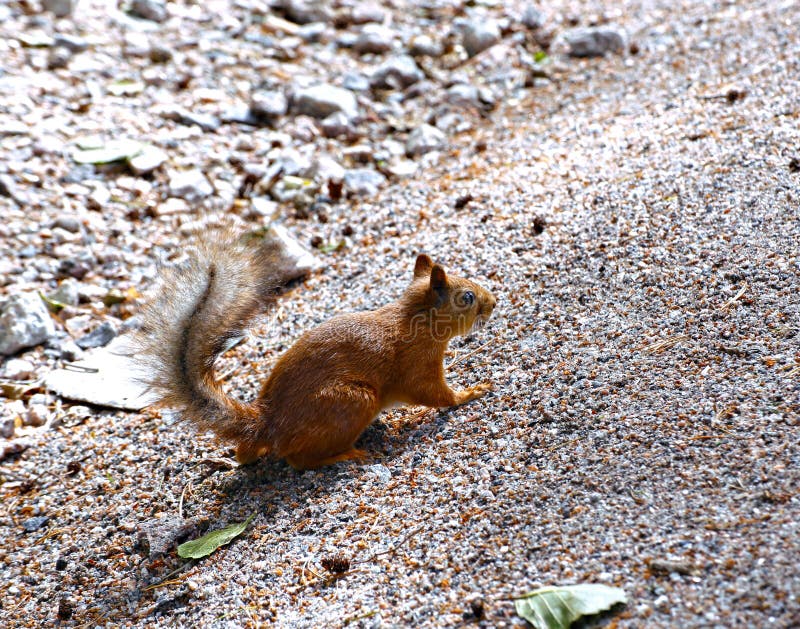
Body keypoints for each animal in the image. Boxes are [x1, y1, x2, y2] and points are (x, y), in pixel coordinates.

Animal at [136, 232, 496, 470]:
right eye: (466, 297)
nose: (493, 303)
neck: (415, 322)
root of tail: (269, 423)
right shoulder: (417, 366)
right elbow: (437, 395)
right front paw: (470, 393)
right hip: (353, 401)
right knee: (299, 460)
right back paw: (346, 454)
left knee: (248, 453)